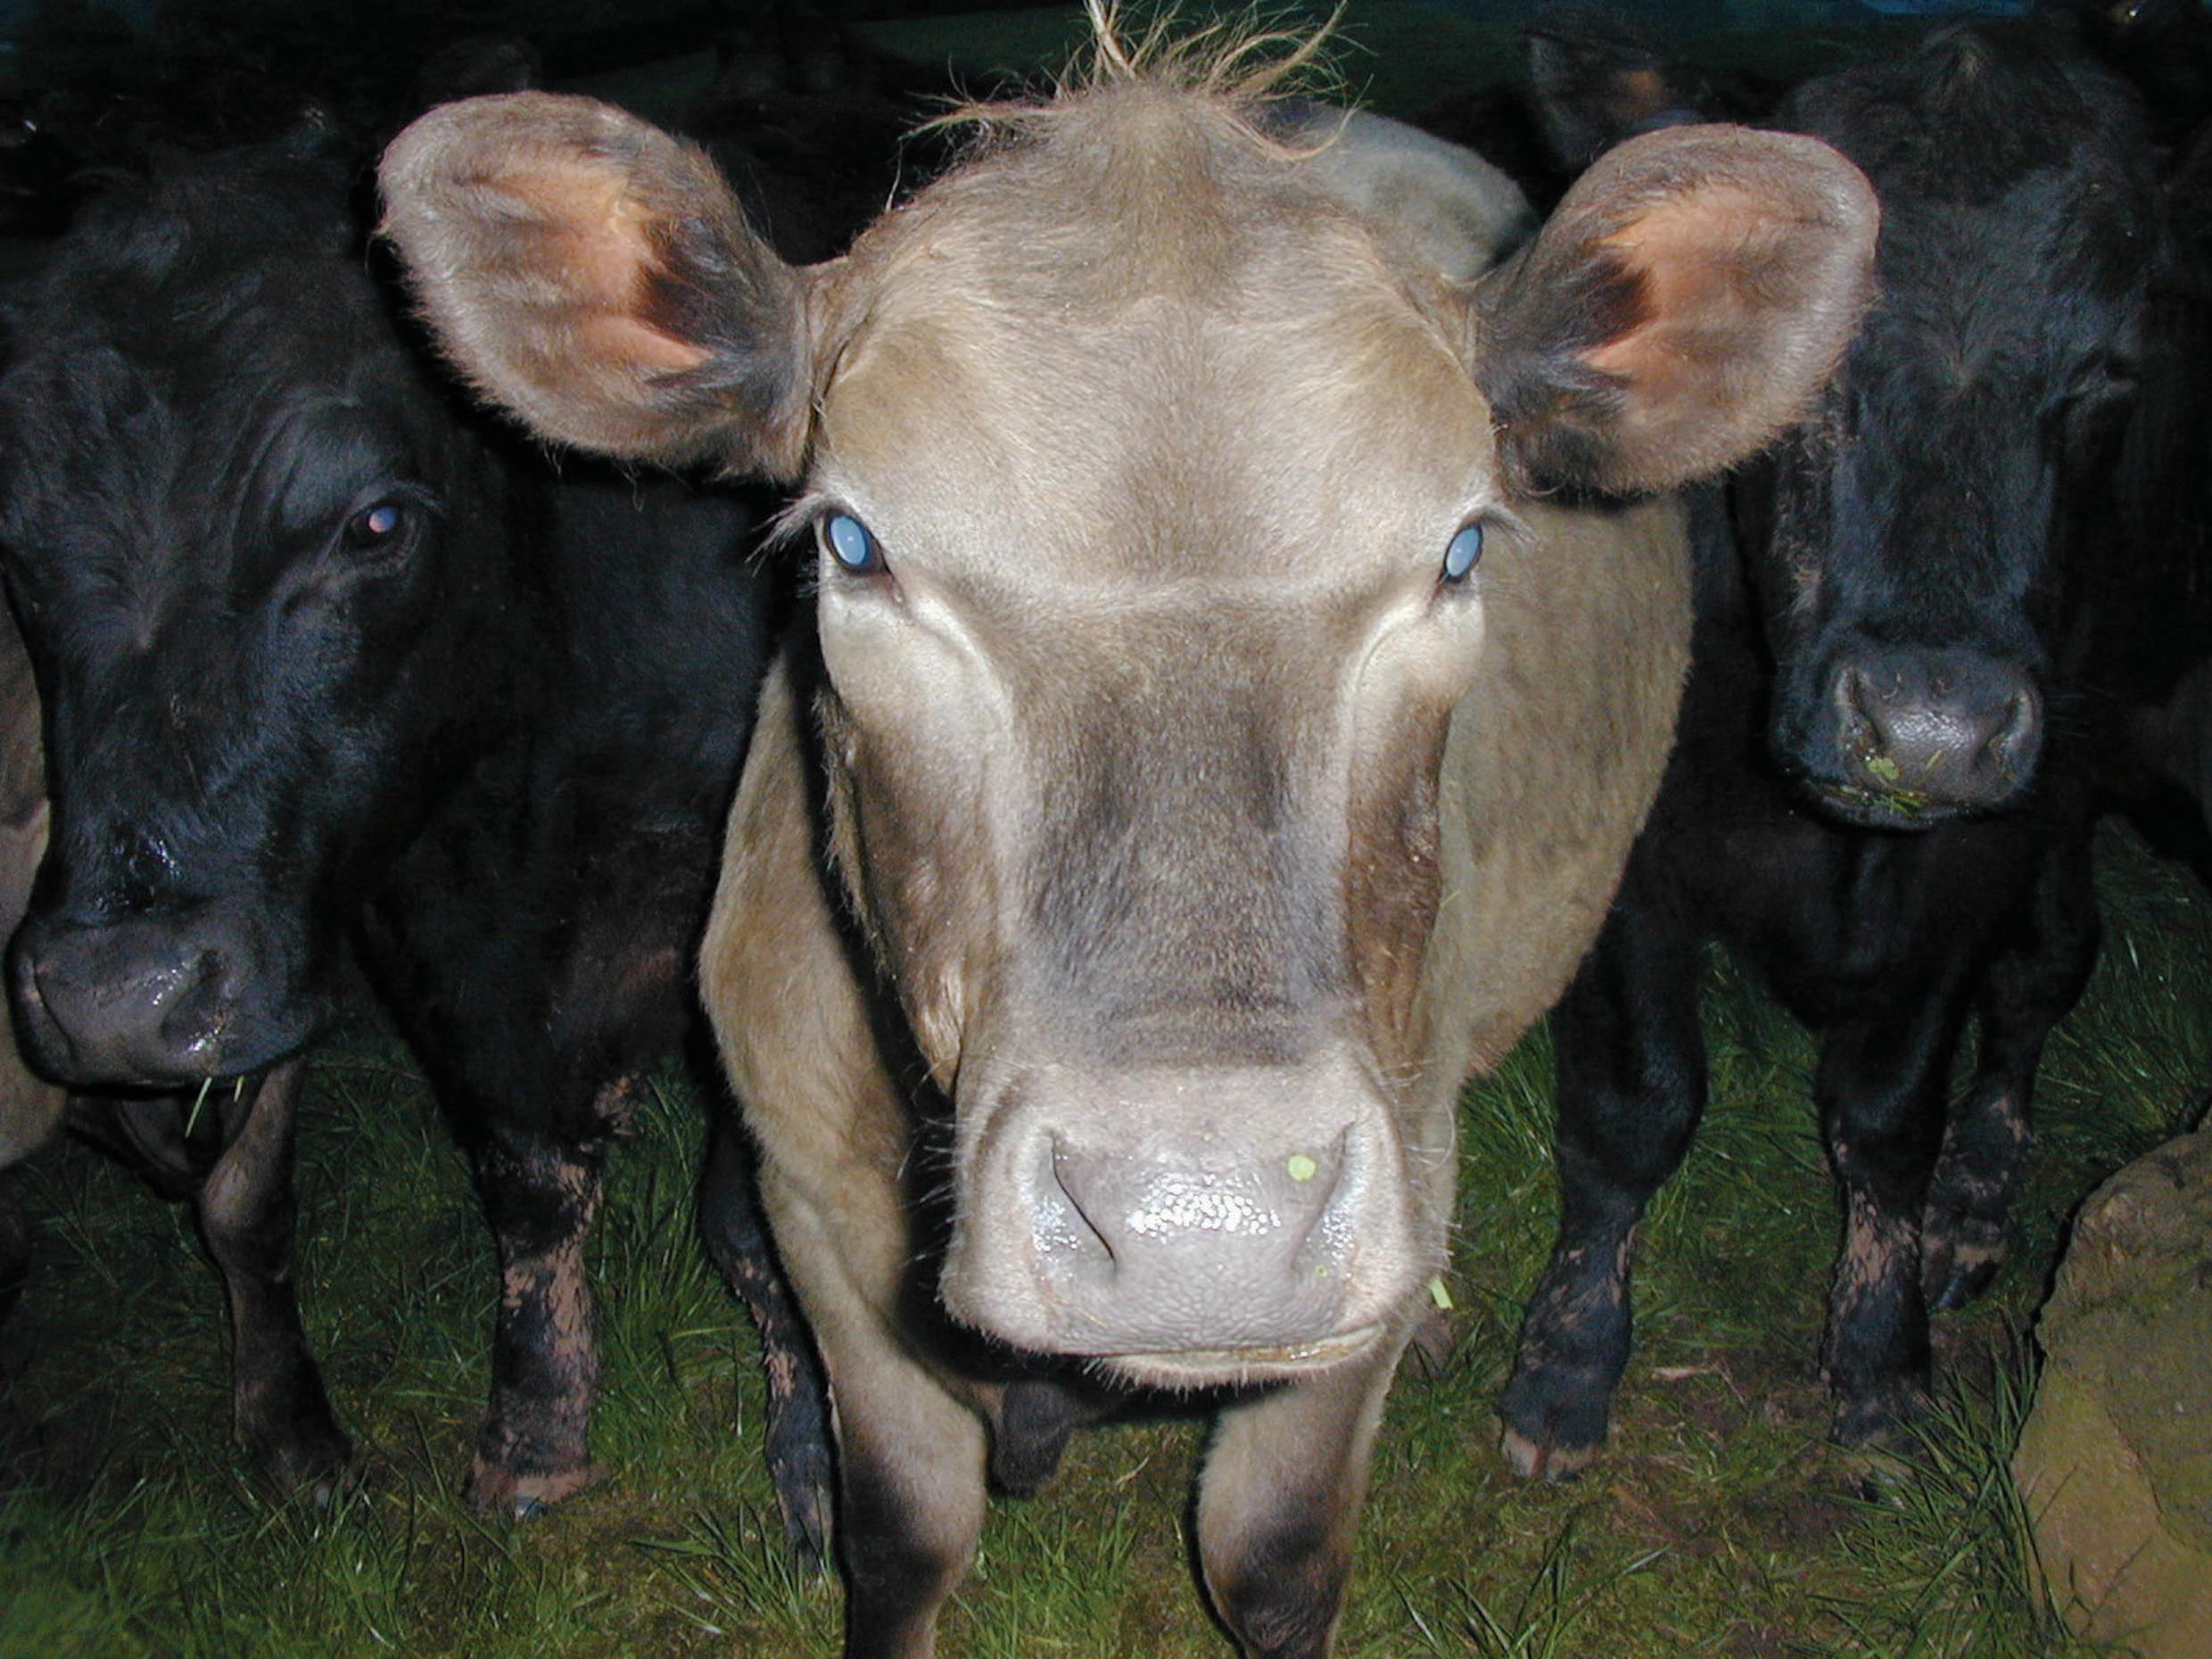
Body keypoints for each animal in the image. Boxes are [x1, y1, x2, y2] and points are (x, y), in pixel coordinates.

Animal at [0, 132, 831, 1548]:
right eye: (13, 547)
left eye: (375, 522)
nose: (116, 998)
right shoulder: (425, 930)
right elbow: (525, 1179)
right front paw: (535, 1430)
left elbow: (749, 1220)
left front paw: (816, 1467)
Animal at [375, 12, 1879, 1654]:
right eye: (853, 540)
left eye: (1463, 546)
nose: (1198, 1223)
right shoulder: (808, 1199)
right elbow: (900, 1535)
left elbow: (1272, 1556)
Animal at [1496, 20, 2156, 1481]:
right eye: (1813, 363)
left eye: (2107, 377)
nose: (1930, 727)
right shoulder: (1626, 853)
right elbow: (1636, 1104)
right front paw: (1564, 1370)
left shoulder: (1973, 864)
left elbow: (1886, 1115)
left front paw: (1878, 1356)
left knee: (2045, 975)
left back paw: (1976, 1206)